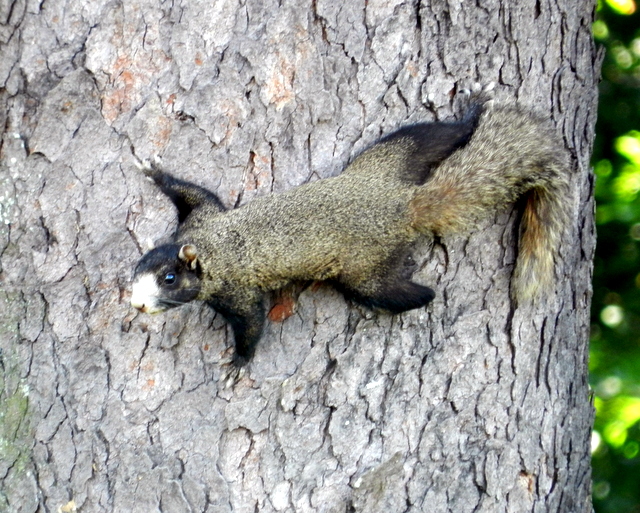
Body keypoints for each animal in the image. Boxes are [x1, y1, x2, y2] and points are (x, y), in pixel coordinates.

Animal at [130, 103, 571, 367]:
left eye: (170, 279)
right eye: (136, 269)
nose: (136, 304)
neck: (209, 247)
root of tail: (404, 204)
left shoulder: (234, 287)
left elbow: (253, 320)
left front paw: (239, 363)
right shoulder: (203, 218)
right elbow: (193, 192)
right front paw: (152, 171)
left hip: (365, 269)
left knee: (401, 293)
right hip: (392, 156)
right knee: (438, 137)